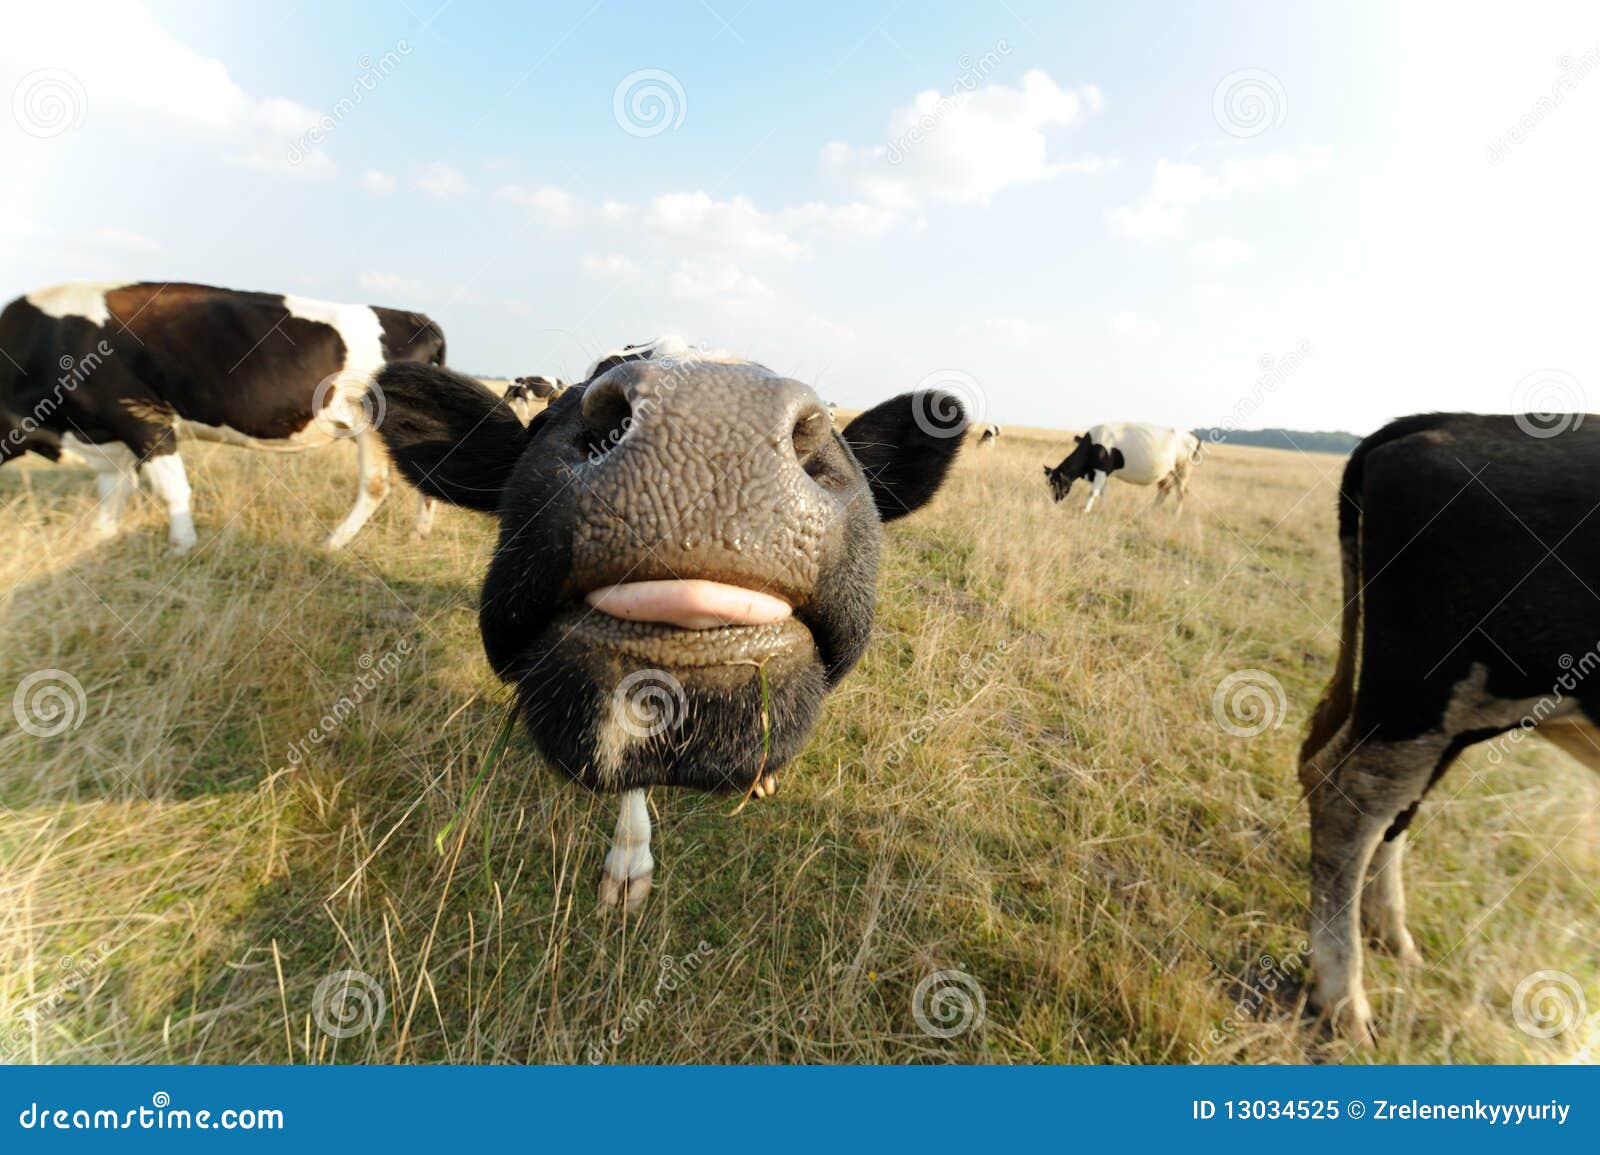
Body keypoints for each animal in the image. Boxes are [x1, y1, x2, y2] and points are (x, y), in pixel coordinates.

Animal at [0, 281, 446, 553]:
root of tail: (416, 317)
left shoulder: (143, 418)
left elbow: (171, 491)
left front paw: (181, 548)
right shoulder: (106, 437)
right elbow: (114, 492)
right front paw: (101, 538)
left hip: (377, 426)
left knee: (375, 484)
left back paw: (333, 543)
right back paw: (418, 534)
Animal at [1043, 422, 1201, 514]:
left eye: (1057, 483)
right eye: (1049, 483)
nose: (1053, 502)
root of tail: (1191, 434)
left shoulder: (1101, 470)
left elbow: (1093, 492)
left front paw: (1085, 510)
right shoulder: (1104, 472)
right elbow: (1103, 492)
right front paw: (1103, 508)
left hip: (1183, 470)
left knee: (1180, 494)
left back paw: (1175, 518)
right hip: (1167, 472)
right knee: (1164, 490)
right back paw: (1149, 513)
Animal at [1299, 412, 1600, 1044]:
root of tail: (1453, 419)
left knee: (1391, 802)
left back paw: (1392, 940)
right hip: (1432, 687)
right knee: (1352, 797)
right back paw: (1346, 1002)